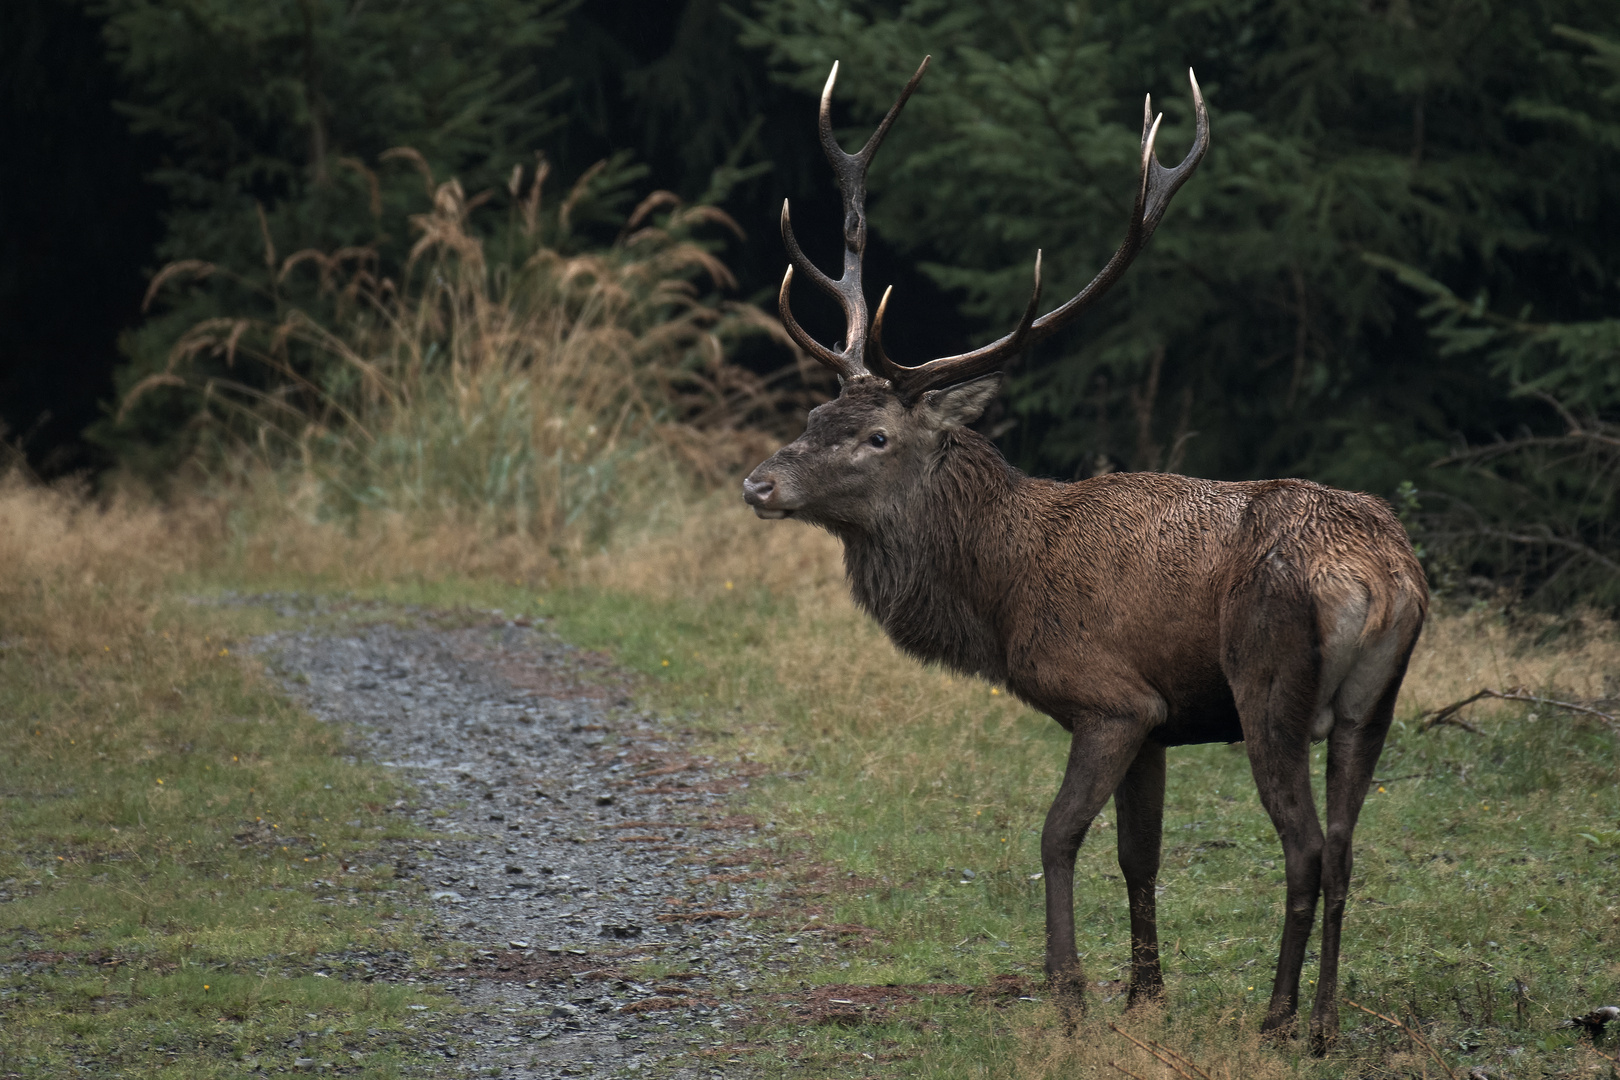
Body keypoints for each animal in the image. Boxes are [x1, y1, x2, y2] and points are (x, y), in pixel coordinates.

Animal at [742, 57, 1429, 1052]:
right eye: (810, 413)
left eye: (875, 436)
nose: (759, 483)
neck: (1001, 592)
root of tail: (1382, 578)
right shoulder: (1162, 719)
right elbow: (1140, 855)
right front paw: (1144, 994)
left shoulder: (1109, 697)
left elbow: (1057, 836)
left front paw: (1068, 992)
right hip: (1375, 700)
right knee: (1343, 847)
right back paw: (1326, 1026)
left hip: (1269, 678)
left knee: (1303, 847)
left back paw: (1275, 1017)